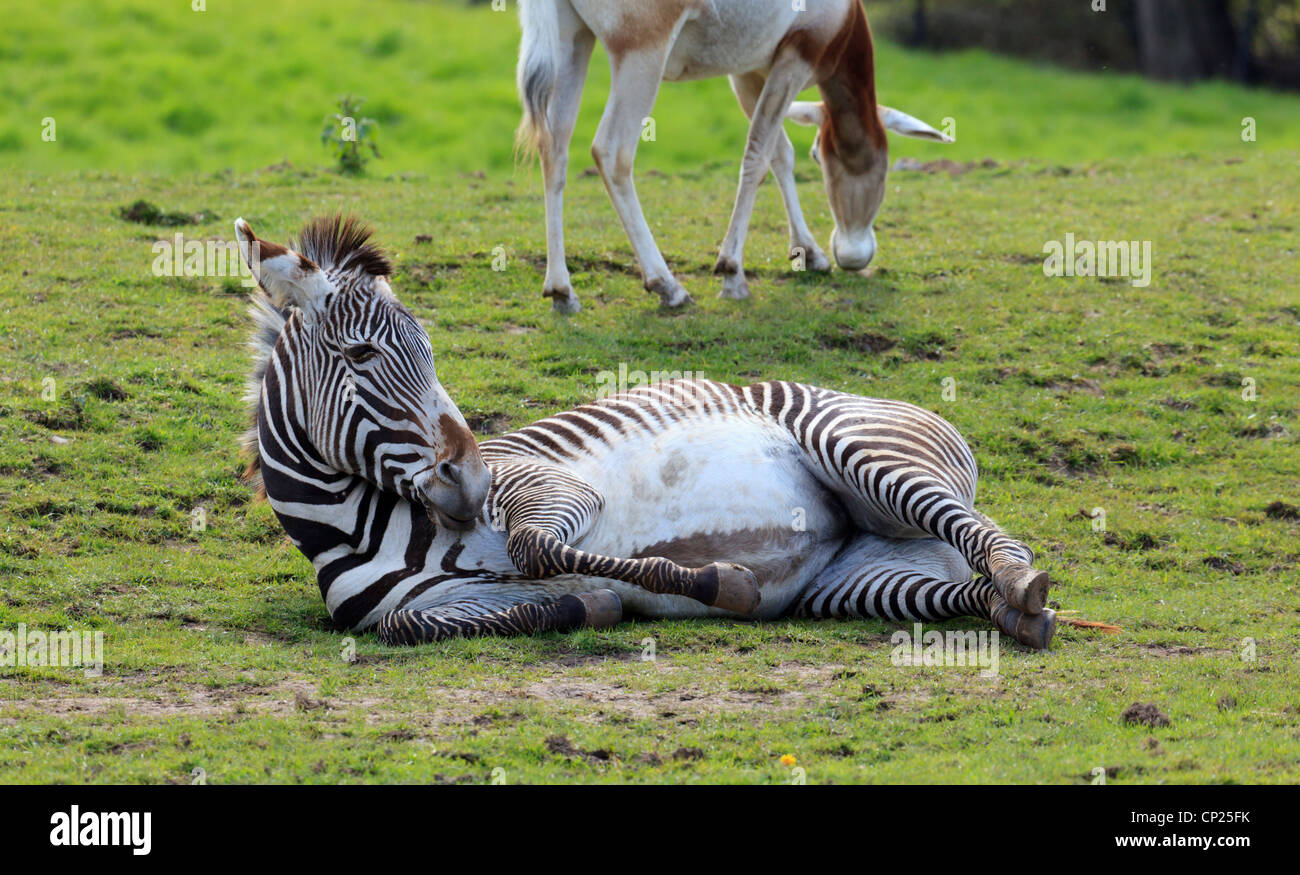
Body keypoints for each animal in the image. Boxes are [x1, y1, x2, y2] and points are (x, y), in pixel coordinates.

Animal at [233, 215, 1057, 650]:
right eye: (361, 355)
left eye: (428, 348)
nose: (473, 481)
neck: (369, 526)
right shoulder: (423, 615)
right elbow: (453, 616)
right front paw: (587, 603)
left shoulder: (550, 486)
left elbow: (534, 548)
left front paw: (720, 583)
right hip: (860, 582)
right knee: (963, 590)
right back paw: (1013, 610)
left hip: (856, 445)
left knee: (992, 538)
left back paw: (1021, 581)